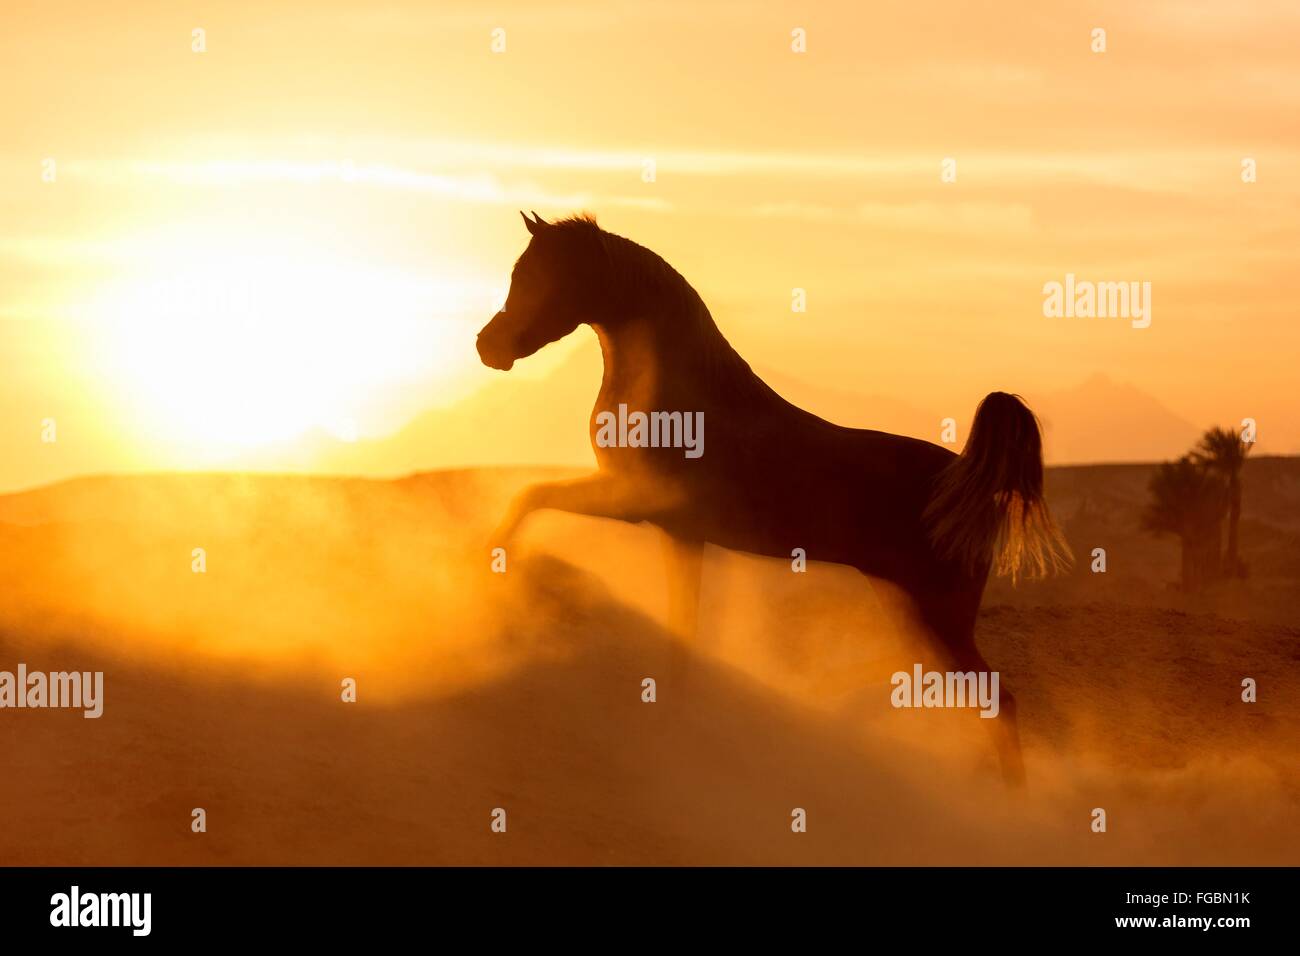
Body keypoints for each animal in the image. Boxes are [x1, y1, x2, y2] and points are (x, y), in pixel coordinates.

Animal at [476, 211, 1071, 785]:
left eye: (540, 276)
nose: (488, 348)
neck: (684, 402)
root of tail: (974, 481)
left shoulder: (638, 503)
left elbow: (531, 495)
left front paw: (486, 561)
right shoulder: (678, 533)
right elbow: (680, 636)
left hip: (939, 611)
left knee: (995, 700)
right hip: (902, 597)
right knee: (920, 667)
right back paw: (826, 697)